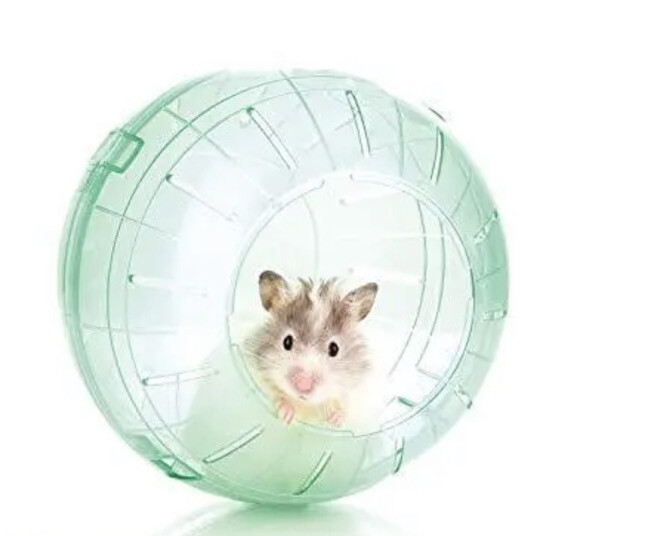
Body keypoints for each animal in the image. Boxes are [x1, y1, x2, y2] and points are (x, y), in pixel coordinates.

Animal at [243, 270, 379, 429]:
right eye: (287, 342)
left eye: (334, 348)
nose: (303, 387)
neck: (306, 404)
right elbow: (276, 393)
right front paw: (287, 417)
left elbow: (343, 403)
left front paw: (336, 421)